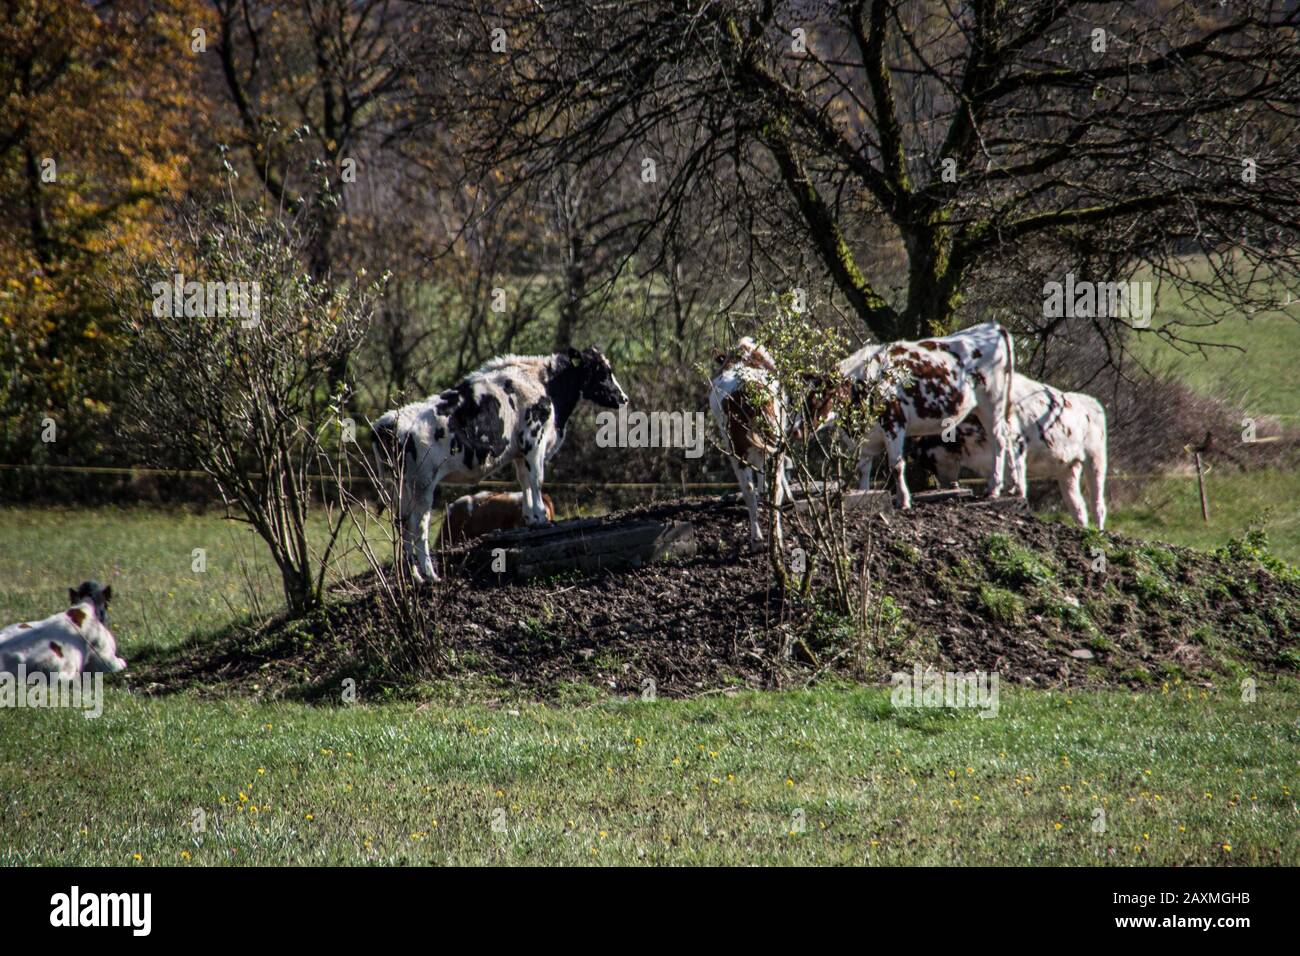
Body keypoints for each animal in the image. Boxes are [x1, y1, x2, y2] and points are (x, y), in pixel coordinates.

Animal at [372, 346, 628, 582]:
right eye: (602, 370)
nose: (623, 398)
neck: (543, 385)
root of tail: (386, 423)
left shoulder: (520, 451)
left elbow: (525, 482)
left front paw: (532, 519)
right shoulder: (534, 440)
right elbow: (537, 480)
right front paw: (542, 518)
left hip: (401, 488)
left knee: (402, 523)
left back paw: (414, 577)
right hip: (422, 485)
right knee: (418, 525)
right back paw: (431, 575)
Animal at [708, 337, 793, 549]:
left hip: (740, 447)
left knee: (752, 488)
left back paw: (763, 537)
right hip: (752, 446)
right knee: (767, 488)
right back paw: (769, 537)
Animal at [803, 322, 1017, 509]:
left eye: (820, 399)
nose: (799, 431)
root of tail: (992, 327)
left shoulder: (894, 423)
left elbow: (896, 465)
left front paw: (904, 501)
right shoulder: (867, 439)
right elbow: (863, 469)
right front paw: (863, 495)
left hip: (992, 403)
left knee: (998, 441)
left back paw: (994, 488)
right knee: (1008, 438)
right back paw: (1014, 487)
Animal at [912, 374, 1109, 528]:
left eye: (930, 460)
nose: (945, 486)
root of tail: (1090, 401)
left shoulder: (1016, 442)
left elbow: (1017, 476)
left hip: (1096, 459)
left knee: (1098, 505)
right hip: (1067, 469)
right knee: (1078, 507)